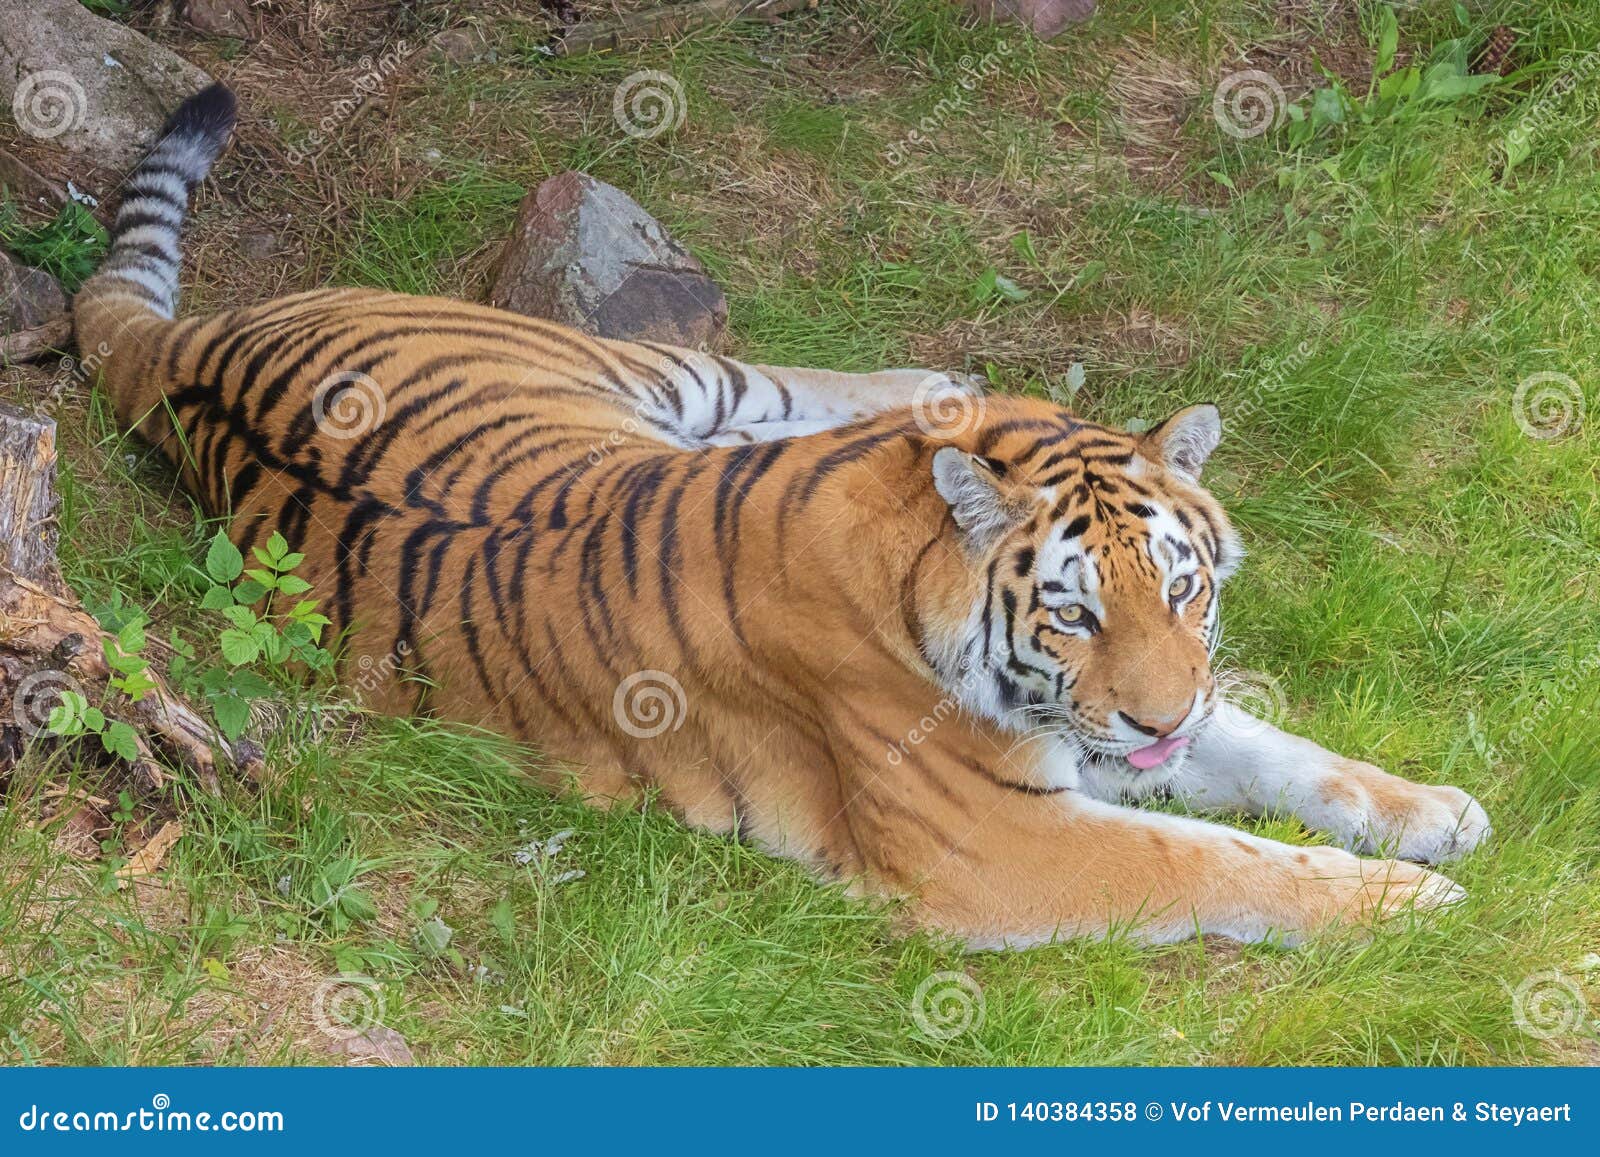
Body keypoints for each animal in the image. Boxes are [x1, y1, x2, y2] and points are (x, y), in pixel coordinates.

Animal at [71, 84, 1489, 948]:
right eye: (1072, 614)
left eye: (1185, 587)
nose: (1150, 719)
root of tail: (186, 342)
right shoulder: (999, 843)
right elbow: (1209, 853)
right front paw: (1418, 903)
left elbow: (1267, 748)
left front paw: (1432, 811)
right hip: (647, 369)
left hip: (678, 386)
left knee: (854, 391)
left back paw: (950, 385)